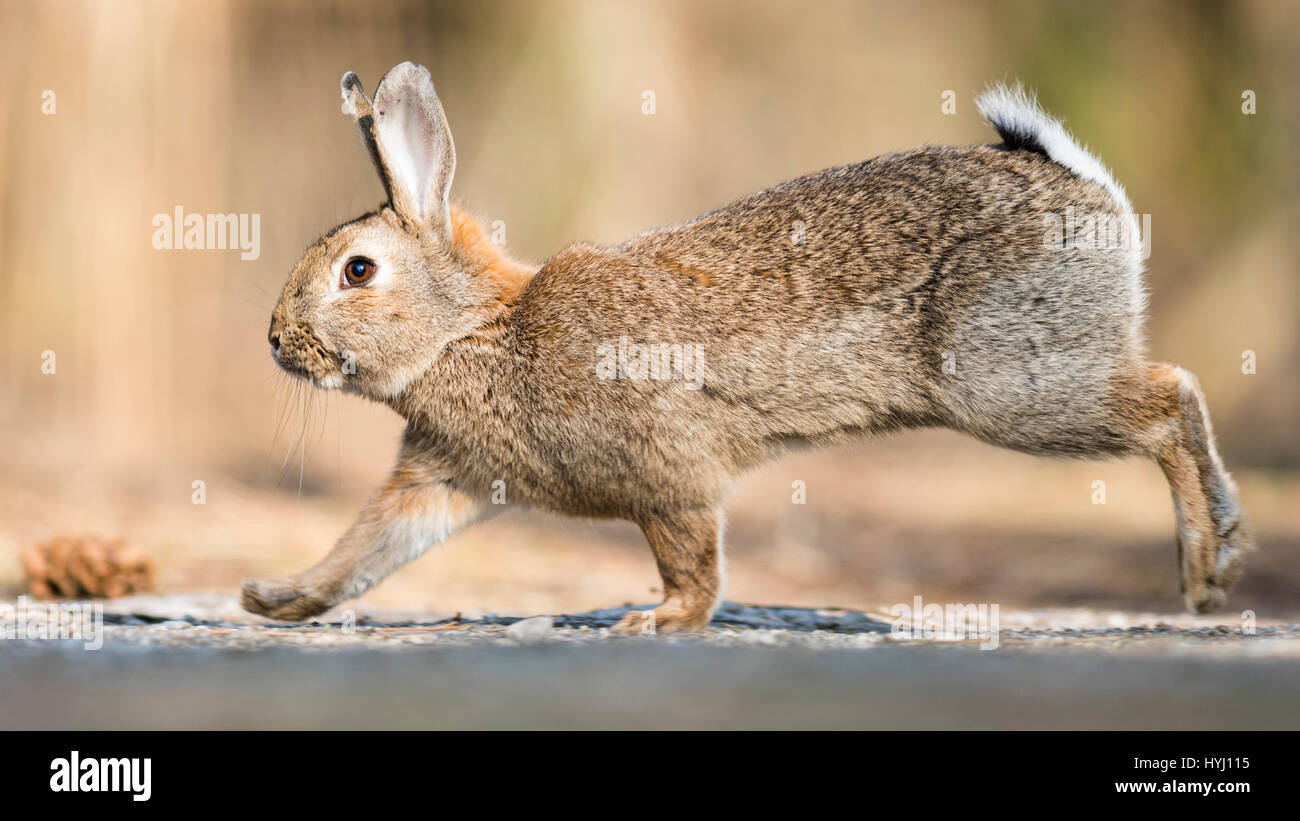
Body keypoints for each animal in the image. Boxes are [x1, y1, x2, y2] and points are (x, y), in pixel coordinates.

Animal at [242, 63, 1253, 631]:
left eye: (358, 272)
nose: (277, 340)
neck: (468, 328)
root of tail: (1089, 196)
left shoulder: (668, 471)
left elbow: (692, 557)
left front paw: (660, 622)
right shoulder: (443, 476)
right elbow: (364, 550)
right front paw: (274, 600)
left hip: (1015, 381)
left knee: (1171, 398)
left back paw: (1209, 570)